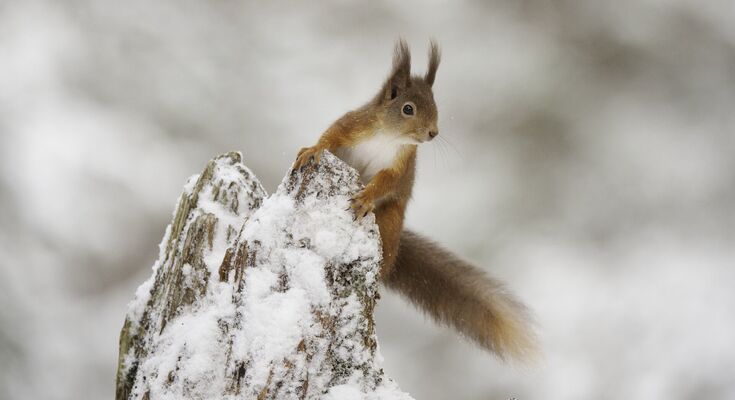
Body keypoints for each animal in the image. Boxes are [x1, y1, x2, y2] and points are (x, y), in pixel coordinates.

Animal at [293, 40, 537, 362]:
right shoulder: (354, 124)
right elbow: (330, 137)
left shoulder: (401, 165)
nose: (433, 133)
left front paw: (366, 197)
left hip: (389, 224)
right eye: (408, 109)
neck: (388, 136)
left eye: (435, 107)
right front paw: (312, 149)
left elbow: (386, 182)